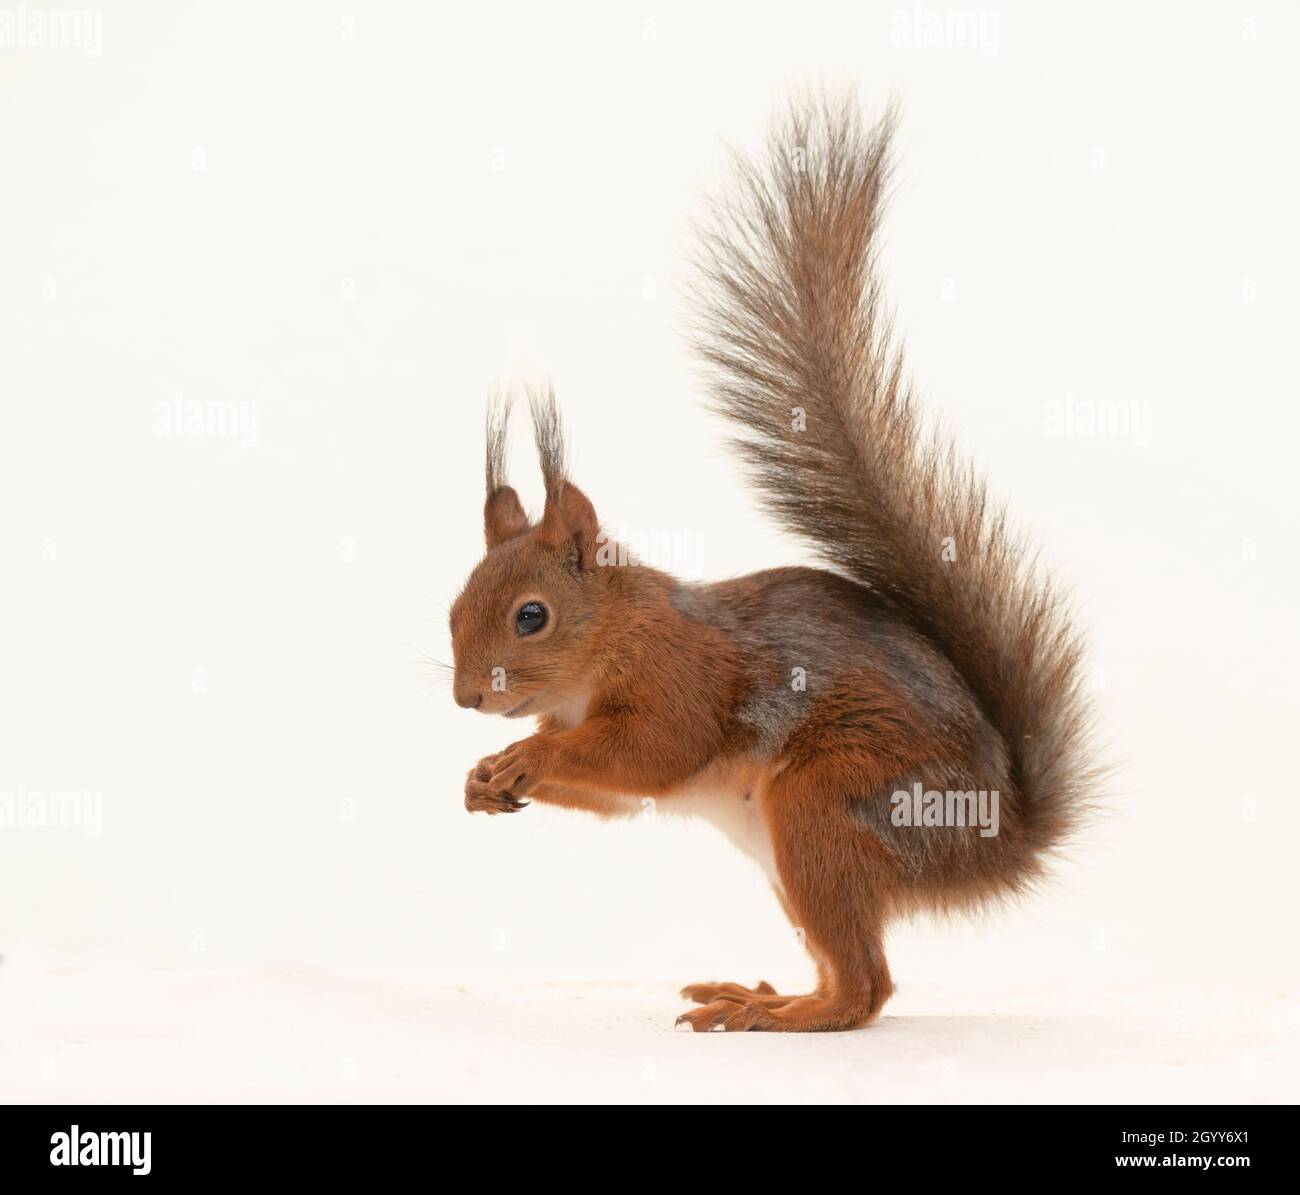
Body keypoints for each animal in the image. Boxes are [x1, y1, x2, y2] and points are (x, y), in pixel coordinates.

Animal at [449, 93, 1097, 1033]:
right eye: (453, 605)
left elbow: (646, 753)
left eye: (531, 614)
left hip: (827, 806)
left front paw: (526, 759)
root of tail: (997, 842)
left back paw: (780, 1015)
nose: (467, 698)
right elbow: (613, 791)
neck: (612, 635)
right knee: (856, 975)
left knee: (867, 993)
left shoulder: (680, 678)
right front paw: (484, 775)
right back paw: (763, 992)